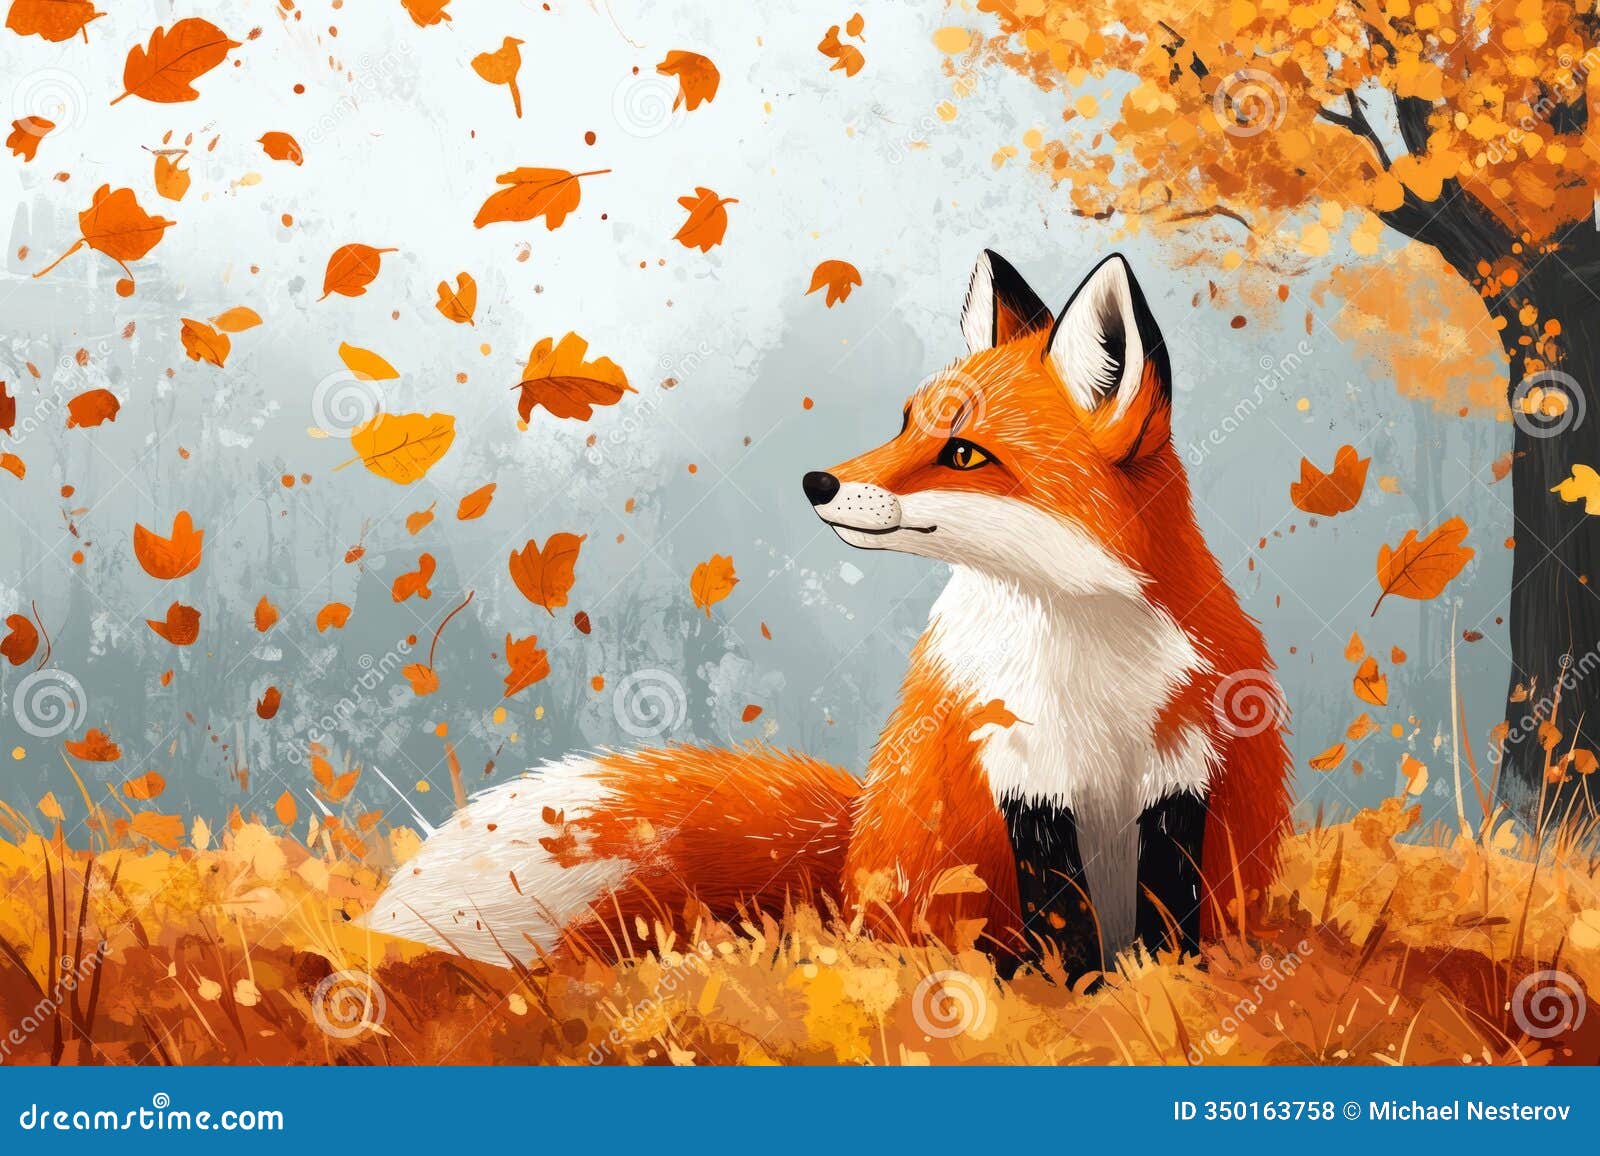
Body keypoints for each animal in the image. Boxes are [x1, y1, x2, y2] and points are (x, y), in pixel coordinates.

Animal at [364, 250, 1292, 977]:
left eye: (964, 454)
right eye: (905, 423)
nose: (817, 482)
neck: (1084, 649)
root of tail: (846, 856)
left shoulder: (1183, 771)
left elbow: (1167, 915)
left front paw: (1153, 993)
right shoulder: (1021, 770)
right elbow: (1063, 920)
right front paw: (1079, 996)